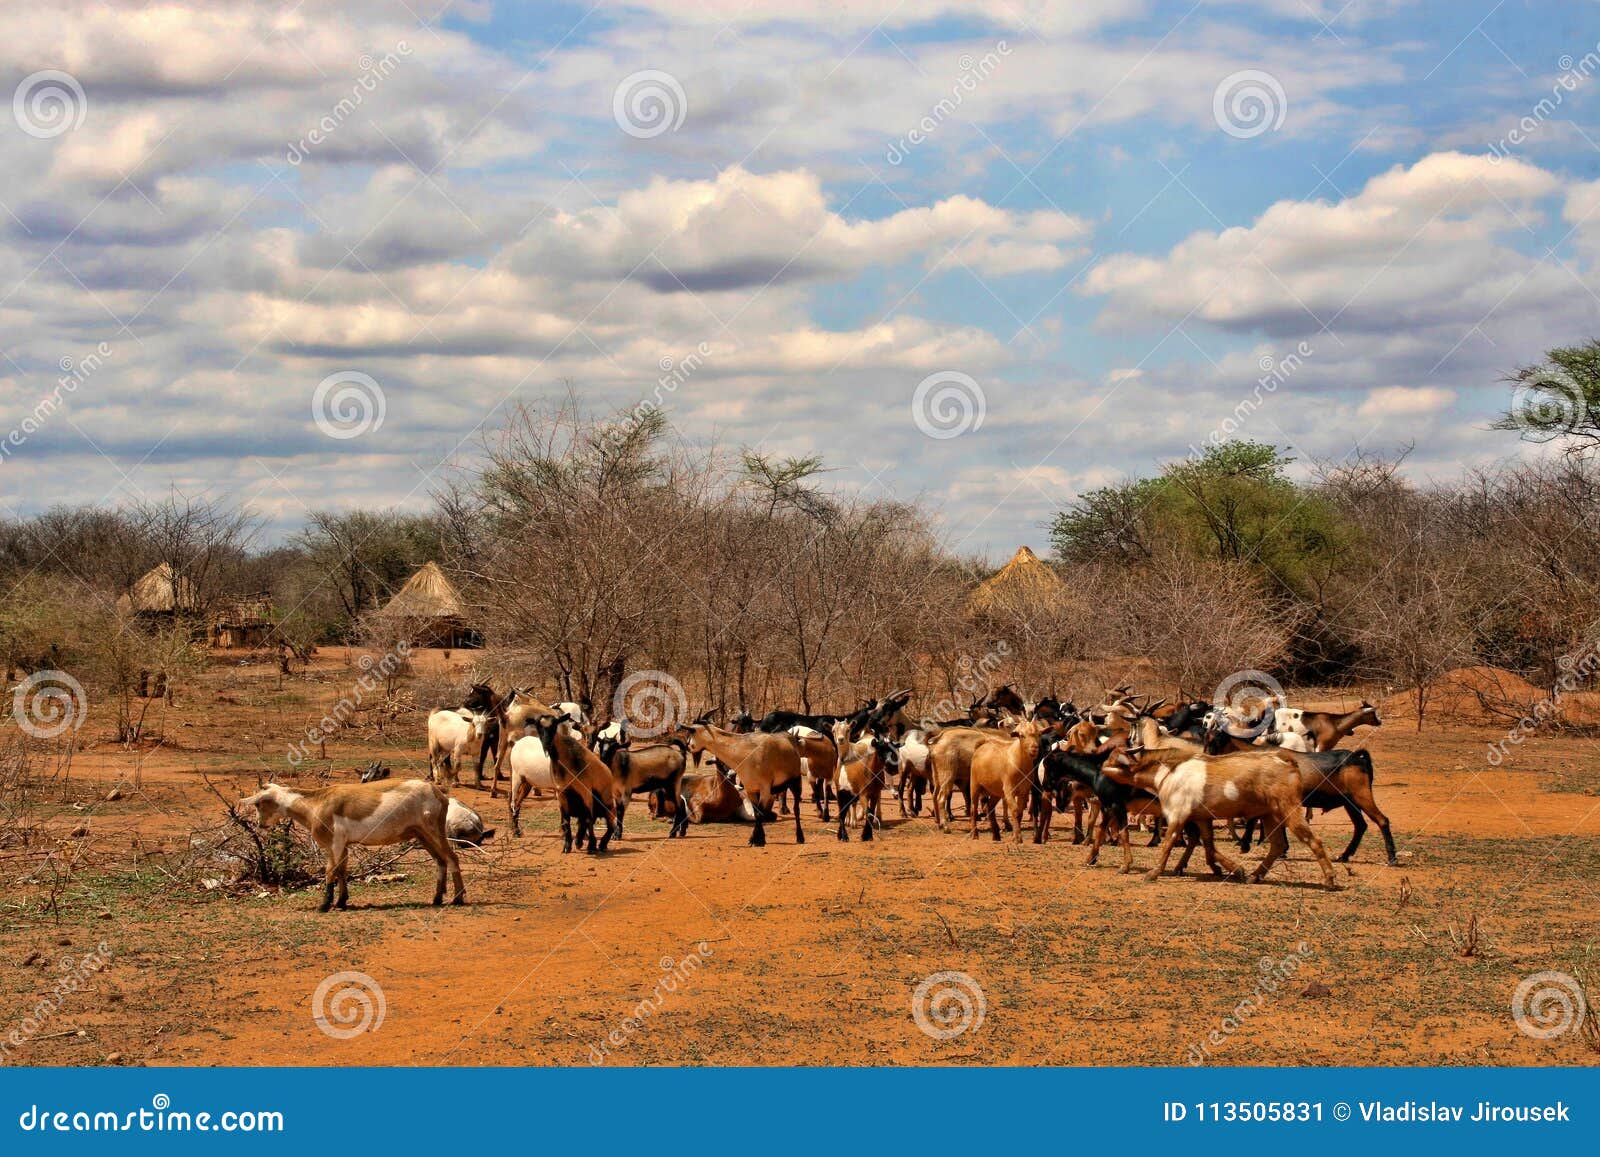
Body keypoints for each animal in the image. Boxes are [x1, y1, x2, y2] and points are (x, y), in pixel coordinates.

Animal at [240, 780, 465, 911]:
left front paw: (324, 904)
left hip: (433, 830)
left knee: (452, 858)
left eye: (259, 804)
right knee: (440, 861)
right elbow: (342, 871)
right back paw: (437, 898)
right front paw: (341, 901)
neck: (316, 803)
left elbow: (330, 871)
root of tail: (438, 792)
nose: (260, 824)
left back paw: (458, 898)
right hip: (422, 835)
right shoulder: (343, 845)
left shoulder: (334, 842)